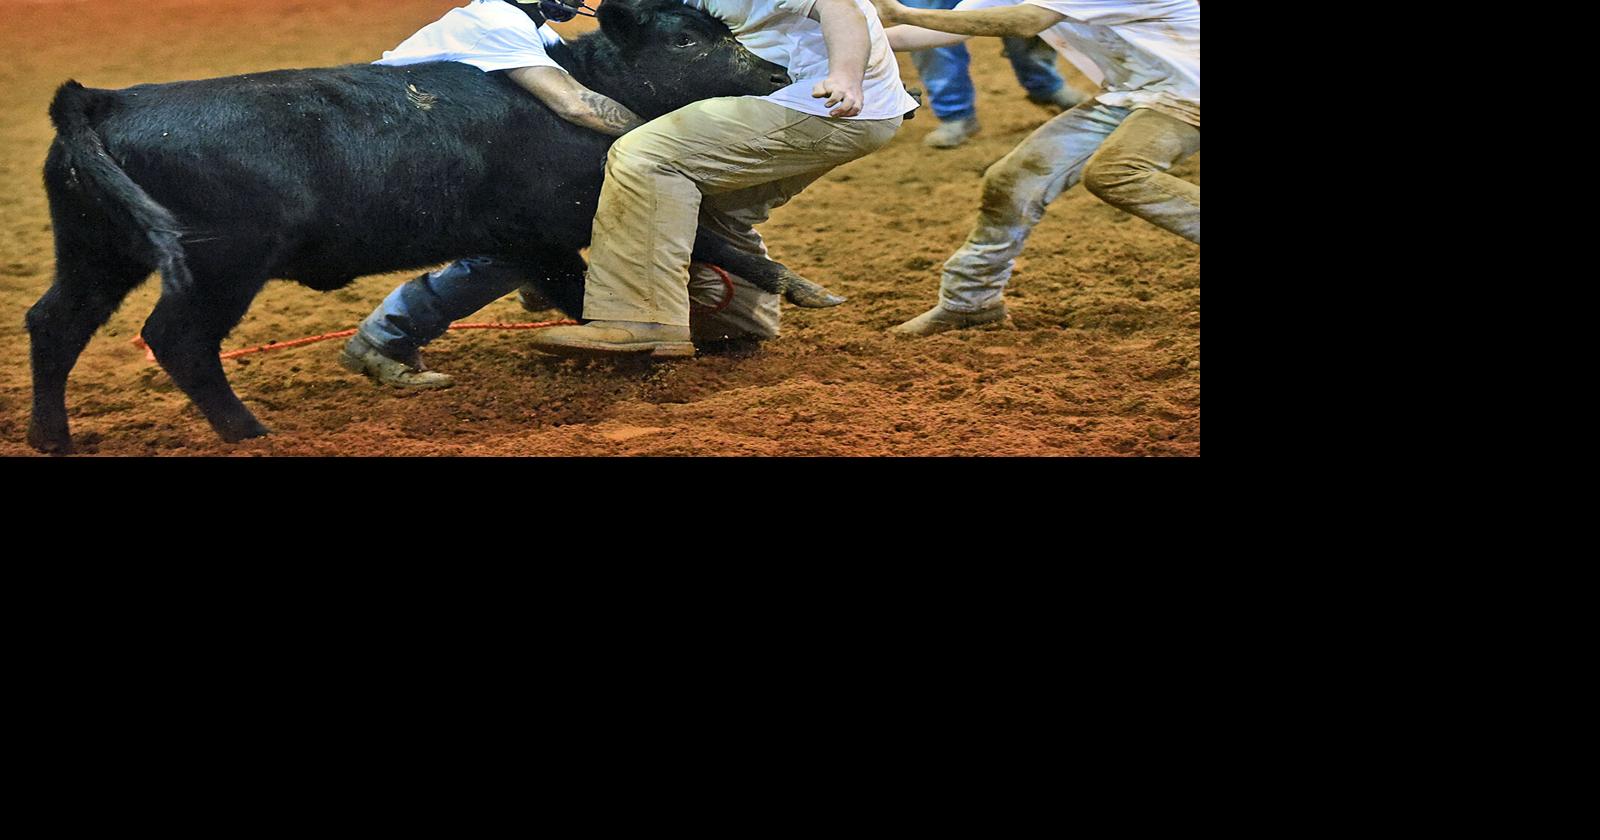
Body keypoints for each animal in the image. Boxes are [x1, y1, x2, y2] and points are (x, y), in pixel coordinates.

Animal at [26, 0, 845, 454]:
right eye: (686, 42)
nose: (775, 75)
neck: (586, 90)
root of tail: (101, 100)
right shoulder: (553, 224)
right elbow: (663, 255)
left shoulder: (535, 232)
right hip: (221, 264)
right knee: (178, 339)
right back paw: (248, 432)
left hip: (96, 254)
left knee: (54, 324)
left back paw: (52, 437)